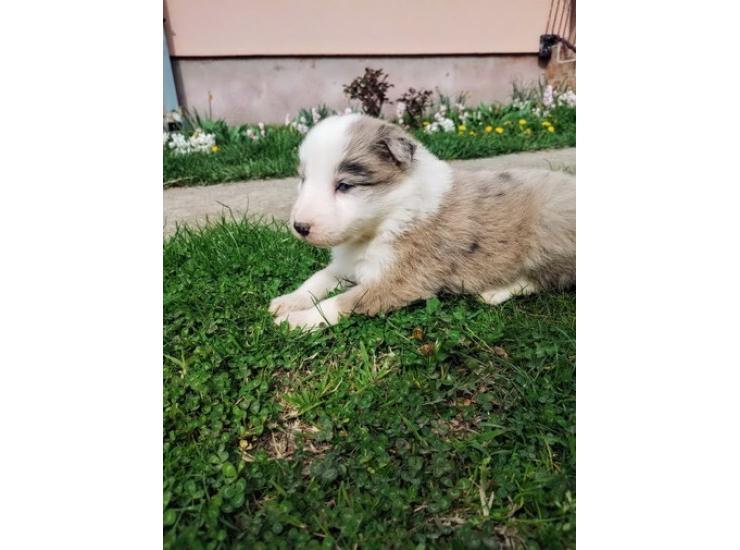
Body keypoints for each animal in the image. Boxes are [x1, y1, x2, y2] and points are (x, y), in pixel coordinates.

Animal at [268, 114, 576, 330]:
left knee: (548, 278)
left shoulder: (401, 279)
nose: (300, 227)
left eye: (344, 185)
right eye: (303, 179)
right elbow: (319, 278)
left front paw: (296, 322)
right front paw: (287, 301)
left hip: (549, 224)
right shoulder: (349, 263)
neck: (385, 220)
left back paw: (495, 292)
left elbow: (340, 302)